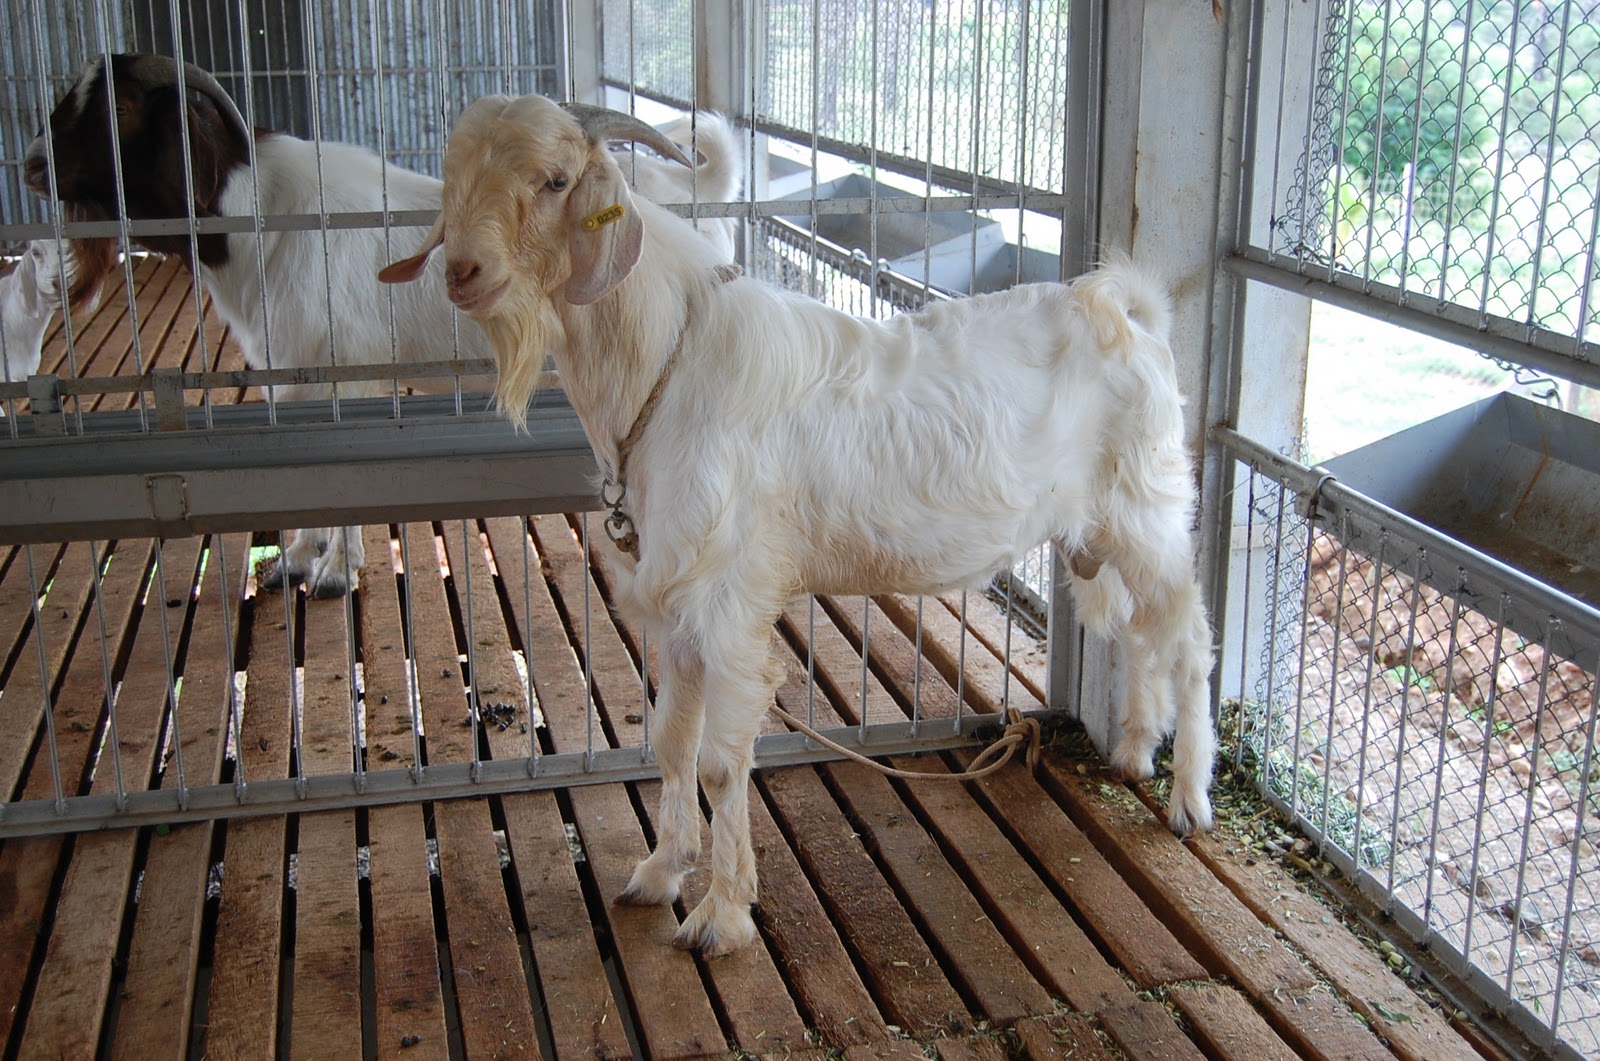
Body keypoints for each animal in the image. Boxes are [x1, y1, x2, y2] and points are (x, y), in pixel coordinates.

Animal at [24, 54, 733, 598]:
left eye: (120, 107)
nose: (32, 163)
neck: (260, 219)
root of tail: (707, 186)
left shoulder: (349, 374)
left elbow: (346, 483)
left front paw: (335, 573)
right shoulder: (292, 375)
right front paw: (293, 562)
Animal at [390, 94, 1216, 957]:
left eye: (555, 180)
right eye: (453, 175)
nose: (463, 272)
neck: (661, 370)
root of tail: (1130, 314)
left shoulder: (730, 604)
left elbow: (720, 764)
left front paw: (721, 914)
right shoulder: (675, 609)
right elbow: (670, 741)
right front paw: (661, 869)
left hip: (1150, 509)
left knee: (1189, 635)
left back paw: (1189, 798)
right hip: (1103, 529)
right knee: (1140, 630)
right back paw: (1134, 750)